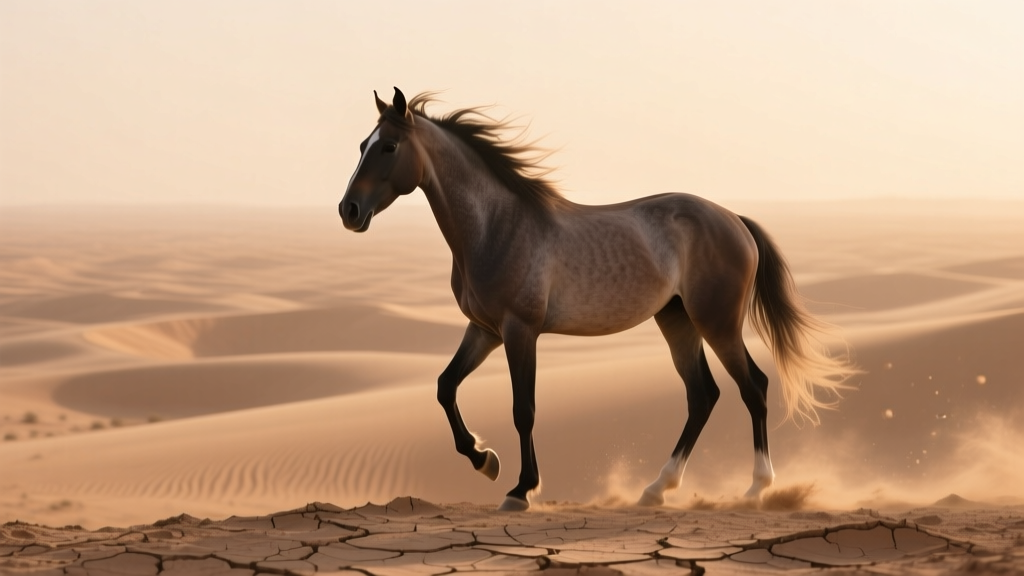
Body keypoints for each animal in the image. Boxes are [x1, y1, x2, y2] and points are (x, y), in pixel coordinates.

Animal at [338, 87, 856, 511]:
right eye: (363, 145)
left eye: (388, 146)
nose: (349, 211)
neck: (495, 226)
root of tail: (735, 220)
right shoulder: (484, 330)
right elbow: (445, 386)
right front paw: (485, 460)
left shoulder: (519, 330)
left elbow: (522, 409)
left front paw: (521, 490)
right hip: (677, 321)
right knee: (702, 395)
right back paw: (657, 489)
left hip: (717, 323)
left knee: (754, 387)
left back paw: (756, 488)